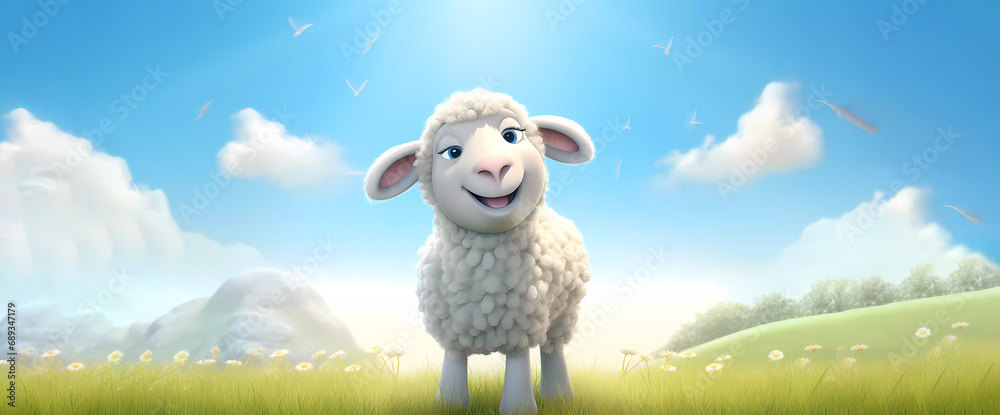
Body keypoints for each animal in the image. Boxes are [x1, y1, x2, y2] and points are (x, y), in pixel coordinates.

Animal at [365, 89, 594, 414]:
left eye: (511, 135)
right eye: (452, 152)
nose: (495, 167)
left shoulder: (519, 328)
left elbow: (518, 366)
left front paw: (518, 408)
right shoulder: (452, 331)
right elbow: (453, 366)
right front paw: (450, 404)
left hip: (563, 313)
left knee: (552, 348)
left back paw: (559, 396)